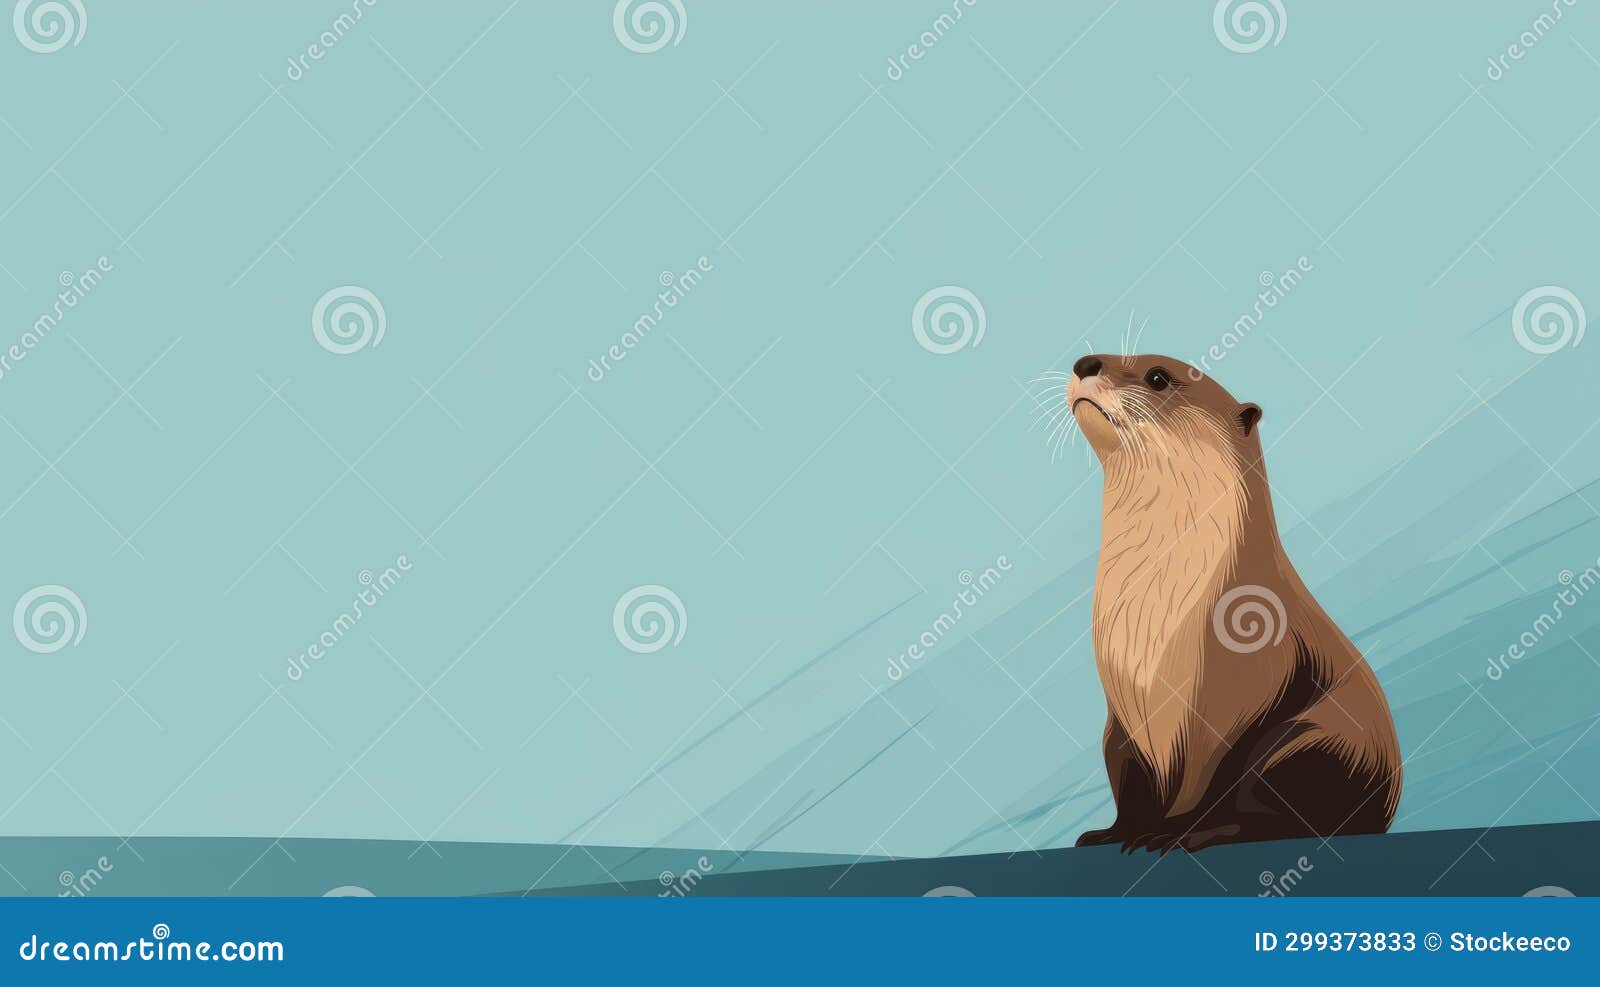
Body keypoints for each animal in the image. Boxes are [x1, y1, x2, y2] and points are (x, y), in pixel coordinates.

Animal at [1066, 353, 1400, 854]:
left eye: (1158, 377)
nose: (1086, 362)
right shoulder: (1119, 704)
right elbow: (1123, 771)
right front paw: (1113, 832)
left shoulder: (1224, 698)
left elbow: (1198, 782)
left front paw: (1165, 833)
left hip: (1316, 743)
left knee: (1270, 812)